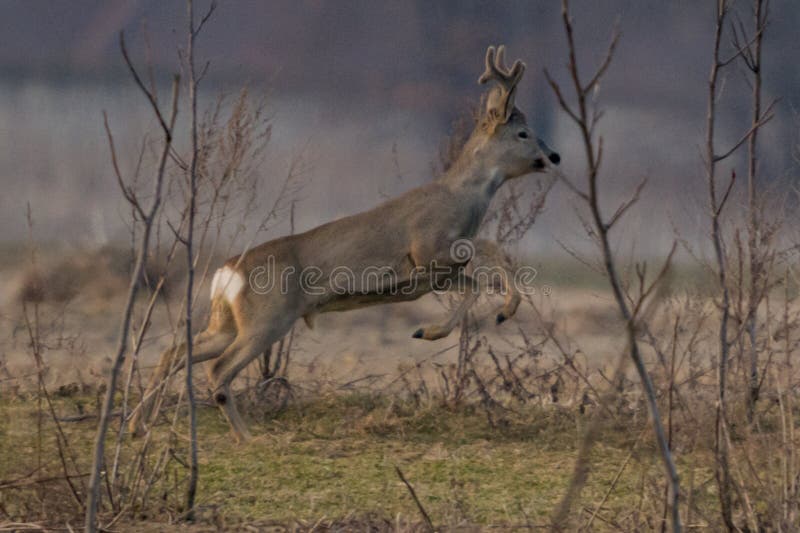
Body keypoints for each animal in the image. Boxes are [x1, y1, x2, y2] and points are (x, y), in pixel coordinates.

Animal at [130, 45, 560, 442]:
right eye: (523, 133)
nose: (554, 155)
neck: (461, 200)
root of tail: (226, 272)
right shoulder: (427, 248)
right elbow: (487, 247)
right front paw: (499, 312)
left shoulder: (431, 275)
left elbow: (474, 282)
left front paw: (436, 329)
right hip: (268, 317)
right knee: (216, 369)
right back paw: (247, 437)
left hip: (227, 321)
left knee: (175, 353)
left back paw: (138, 424)